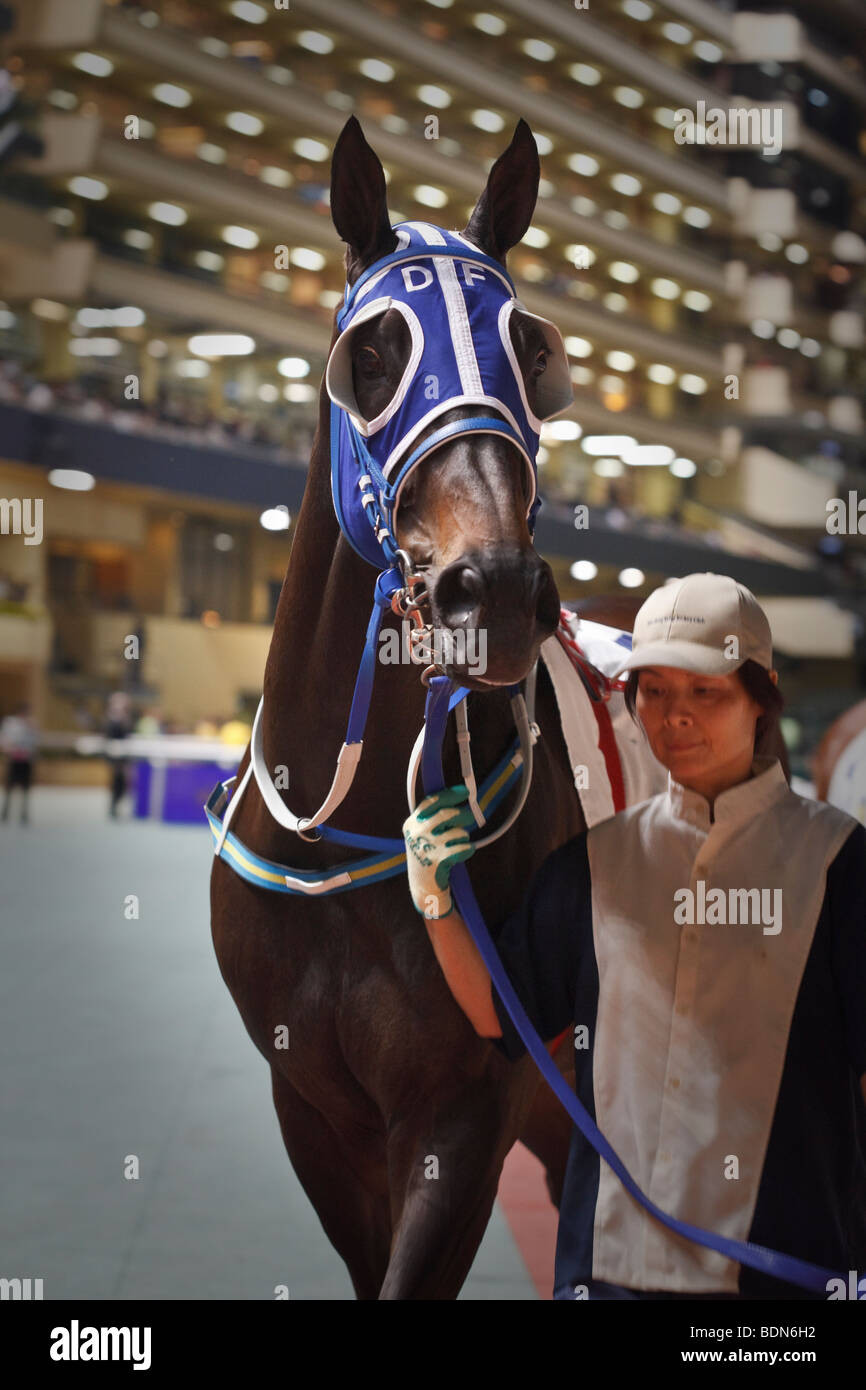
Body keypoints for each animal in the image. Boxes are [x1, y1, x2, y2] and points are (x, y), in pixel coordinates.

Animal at [208, 115, 775, 1300]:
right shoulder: (314, 1114)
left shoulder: (464, 1114)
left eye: (531, 354)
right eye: (372, 352)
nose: (500, 590)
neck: (347, 841)